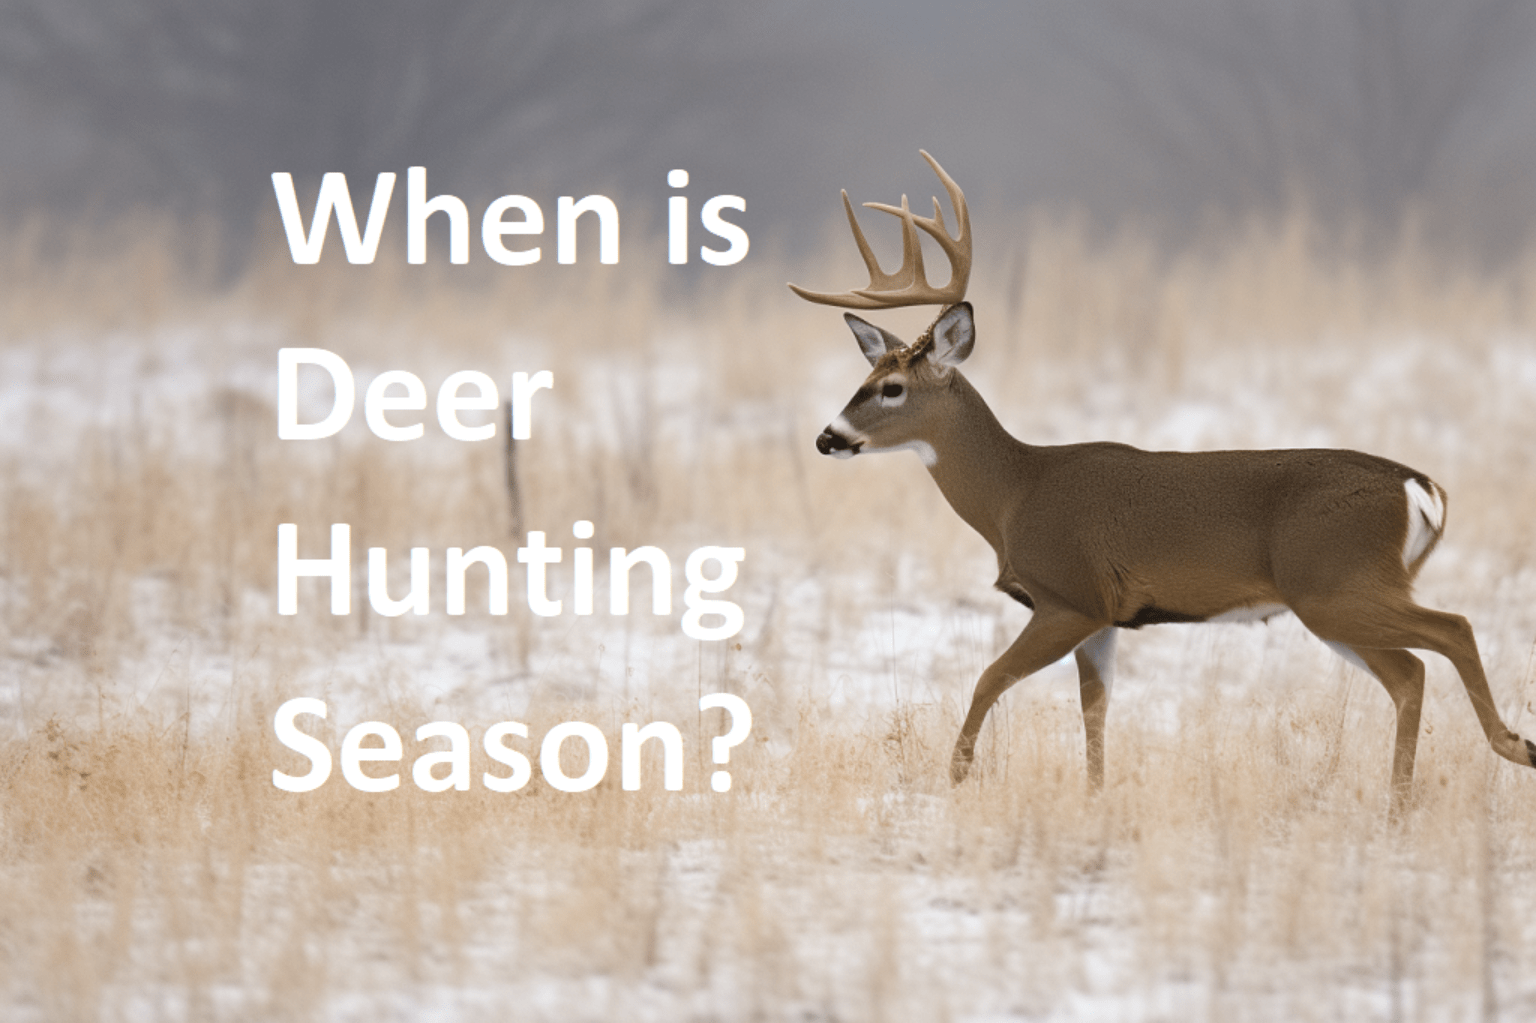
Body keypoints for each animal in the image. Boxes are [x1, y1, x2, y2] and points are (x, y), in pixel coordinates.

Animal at [791, 150, 1536, 818]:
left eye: (890, 388)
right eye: (865, 378)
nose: (828, 436)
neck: (1015, 493)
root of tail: (1420, 487)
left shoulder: (1071, 595)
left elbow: (988, 677)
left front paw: (957, 774)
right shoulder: (1103, 619)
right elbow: (1095, 710)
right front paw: (1094, 798)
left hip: (1334, 584)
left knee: (1452, 630)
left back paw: (1508, 748)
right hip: (1340, 598)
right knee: (1410, 670)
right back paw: (1407, 798)